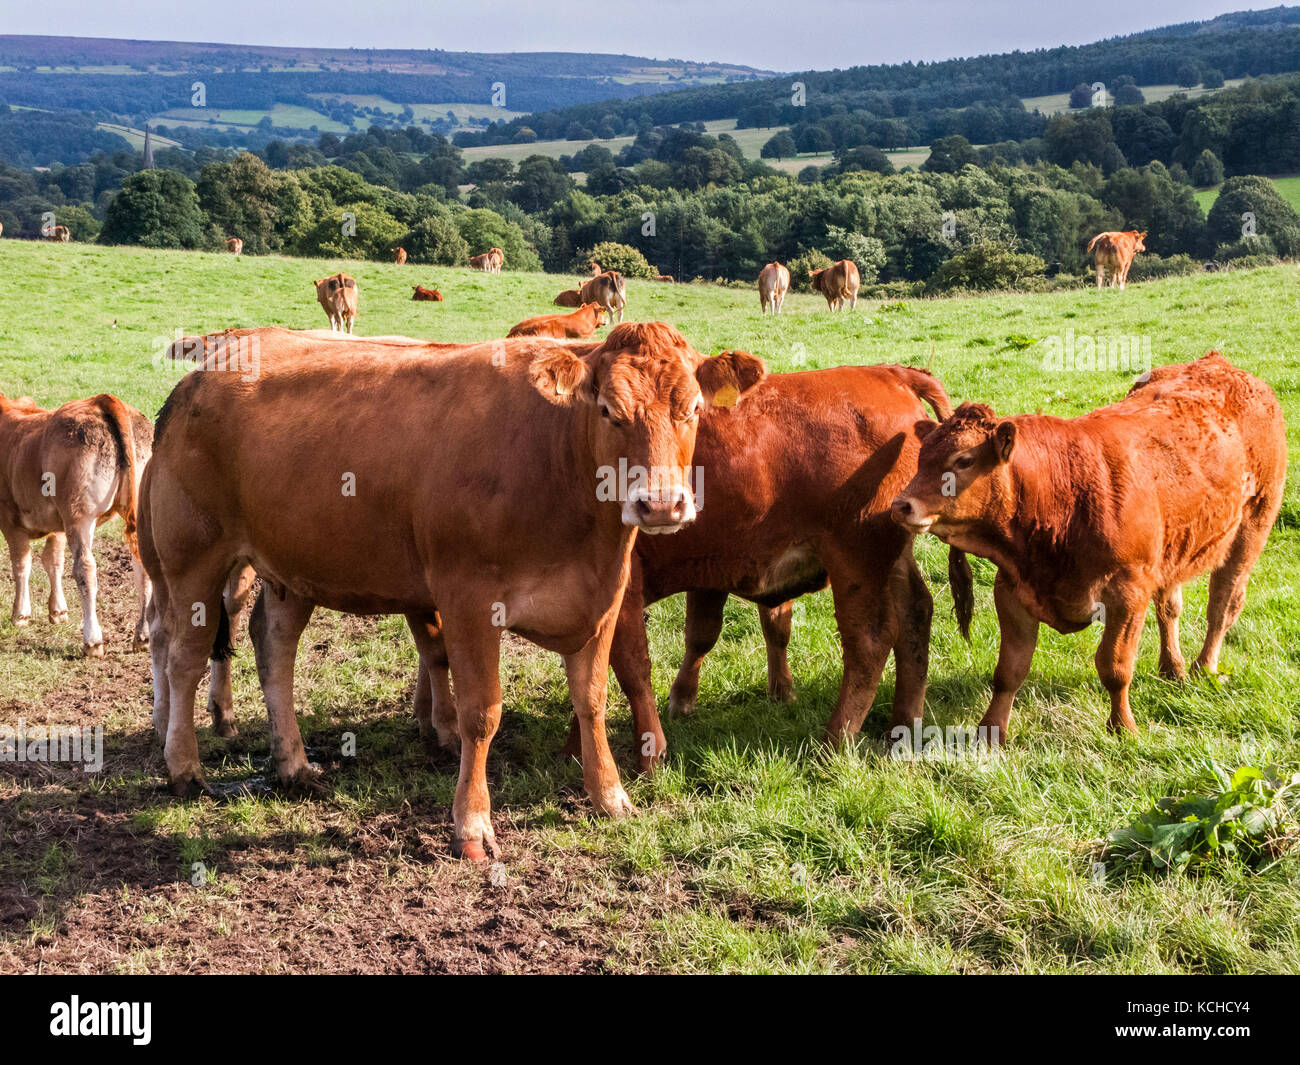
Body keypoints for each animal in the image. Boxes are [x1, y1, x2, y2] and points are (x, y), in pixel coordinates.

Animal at [1, 392, 152, 657]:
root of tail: (101, 401)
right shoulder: (57, 525)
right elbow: (53, 562)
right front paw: (58, 610)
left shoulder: (10, 520)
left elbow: (21, 565)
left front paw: (20, 615)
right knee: (143, 567)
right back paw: (142, 636)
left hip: (80, 517)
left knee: (85, 569)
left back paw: (92, 640)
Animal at [139, 322, 766, 861]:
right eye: (609, 411)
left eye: (693, 409)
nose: (660, 505)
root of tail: (206, 370)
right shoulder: (467, 600)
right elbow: (480, 714)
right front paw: (472, 825)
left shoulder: (603, 598)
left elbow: (592, 699)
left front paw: (610, 796)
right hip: (194, 558)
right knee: (184, 657)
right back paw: (185, 769)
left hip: (290, 567)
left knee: (274, 647)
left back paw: (292, 764)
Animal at [890, 352, 1286, 744]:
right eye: (921, 457)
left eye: (963, 460)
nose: (901, 505)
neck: (1062, 491)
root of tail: (1219, 363)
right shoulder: (1012, 589)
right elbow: (1009, 671)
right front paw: (992, 731)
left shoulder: (1128, 594)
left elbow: (1114, 667)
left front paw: (1123, 728)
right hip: (1172, 546)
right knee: (1170, 607)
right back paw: (1172, 667)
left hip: (1253, 526)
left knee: (1223, 603)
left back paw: (1204, 667)